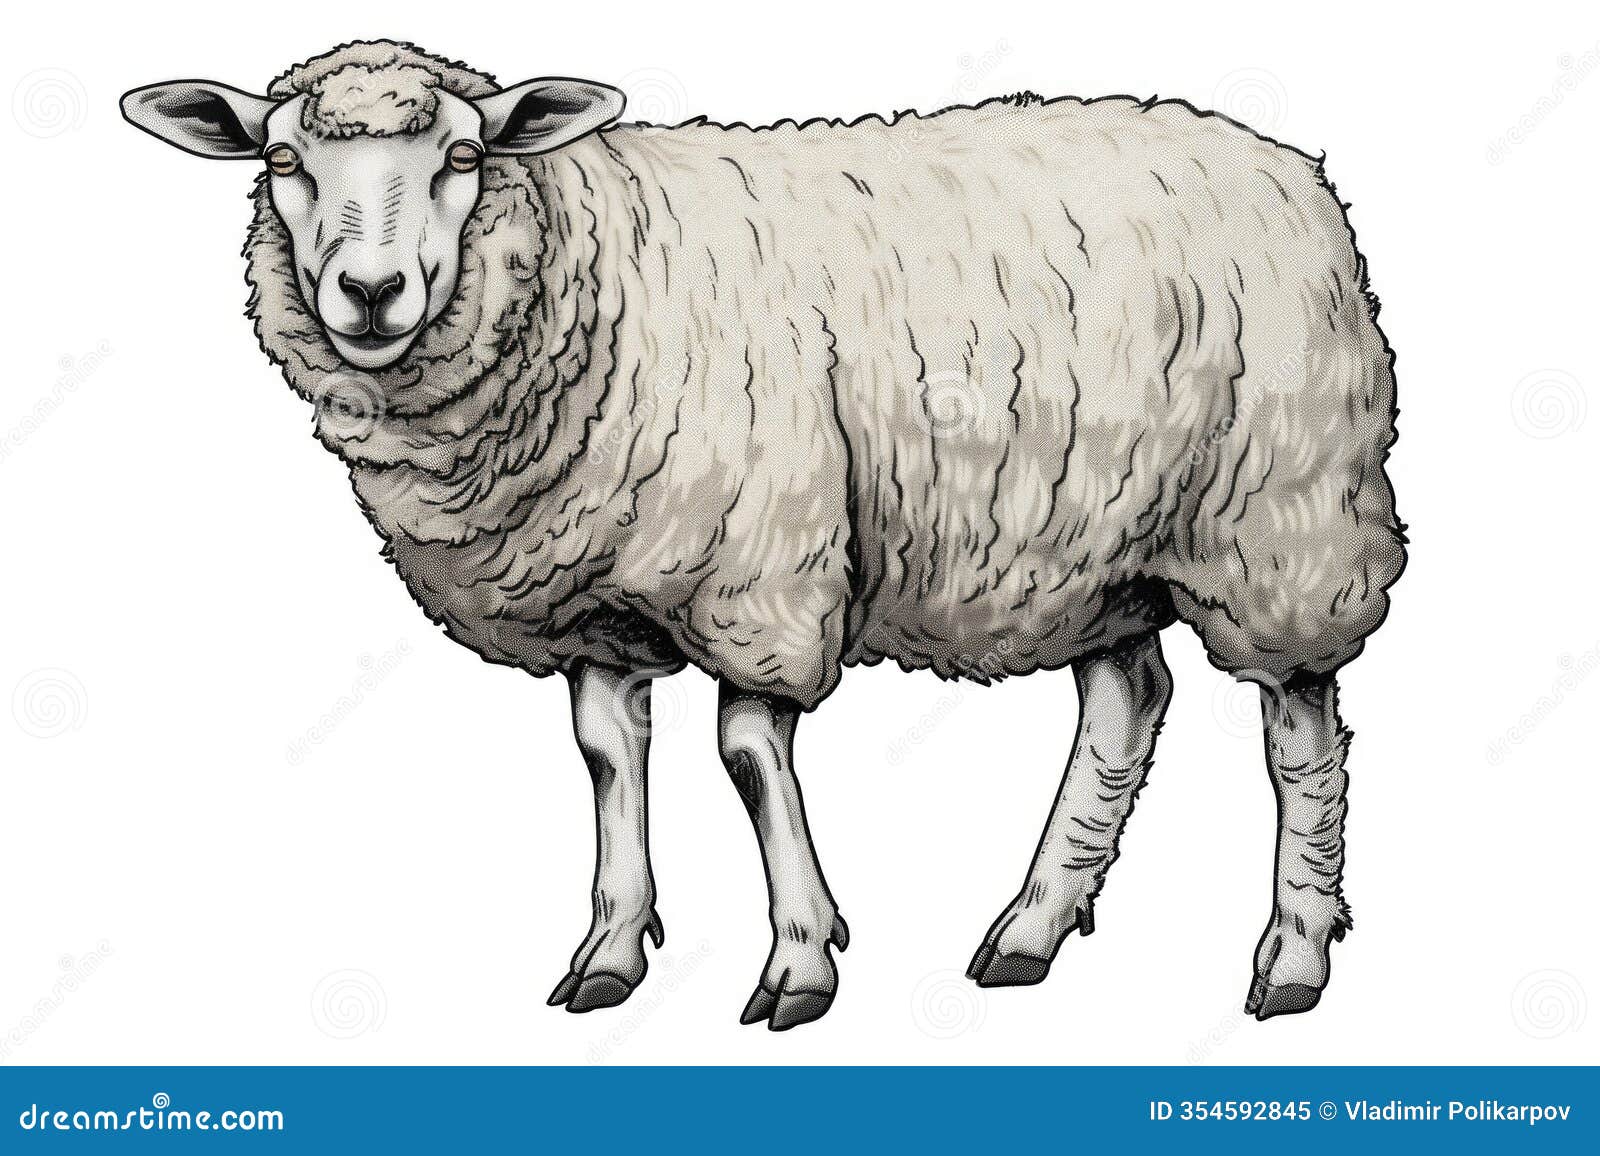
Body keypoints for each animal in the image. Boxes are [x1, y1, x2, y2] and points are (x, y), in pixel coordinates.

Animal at [122, 39, 1404, 1031]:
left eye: (465, 157)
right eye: (283, 161)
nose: (370, 291)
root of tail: (1287, 163)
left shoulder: (763, 568)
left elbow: (746, 755)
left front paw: (799, 960)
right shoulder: (596, 599)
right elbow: (607, 756)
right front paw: (609, 952)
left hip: (1281, 515)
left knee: (1298, 731)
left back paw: (1292, 955)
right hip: (1101, 542)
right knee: (1127, 702)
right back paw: (1030, 929)